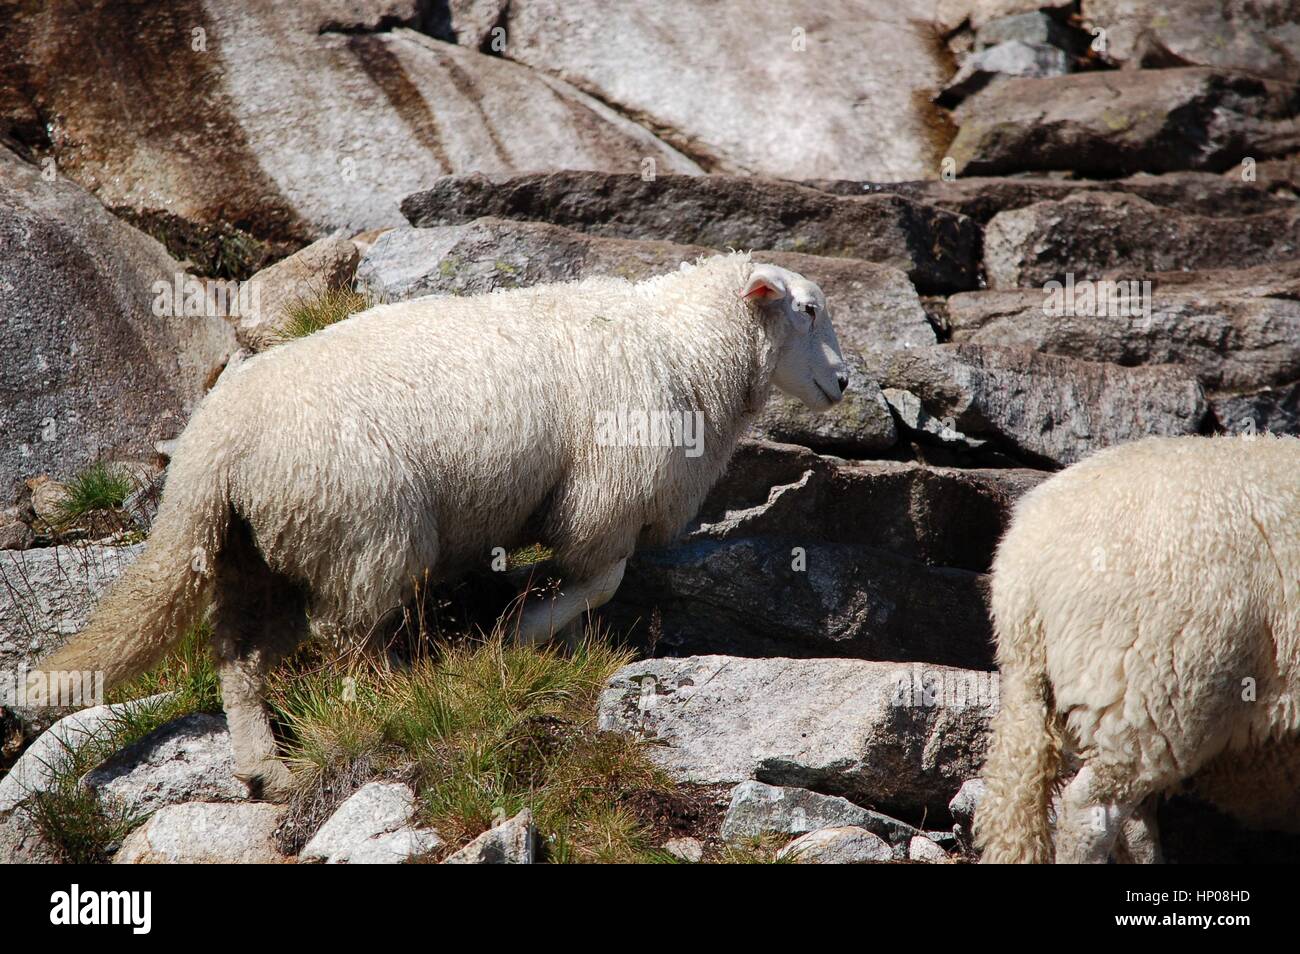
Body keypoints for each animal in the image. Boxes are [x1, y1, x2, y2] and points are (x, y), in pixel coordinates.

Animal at [28, 253, 848, 797]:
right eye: (808, 310)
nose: (844, 383)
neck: (683, 346)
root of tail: (210, 449)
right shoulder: (602, 494)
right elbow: (600, 580)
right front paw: (515, 638)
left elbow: (596, 590)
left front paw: (552, 647)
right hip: (362, 525)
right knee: (344, 636)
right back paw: (385, 699)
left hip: (251, 550)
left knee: (237, 655)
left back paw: (264, 764)